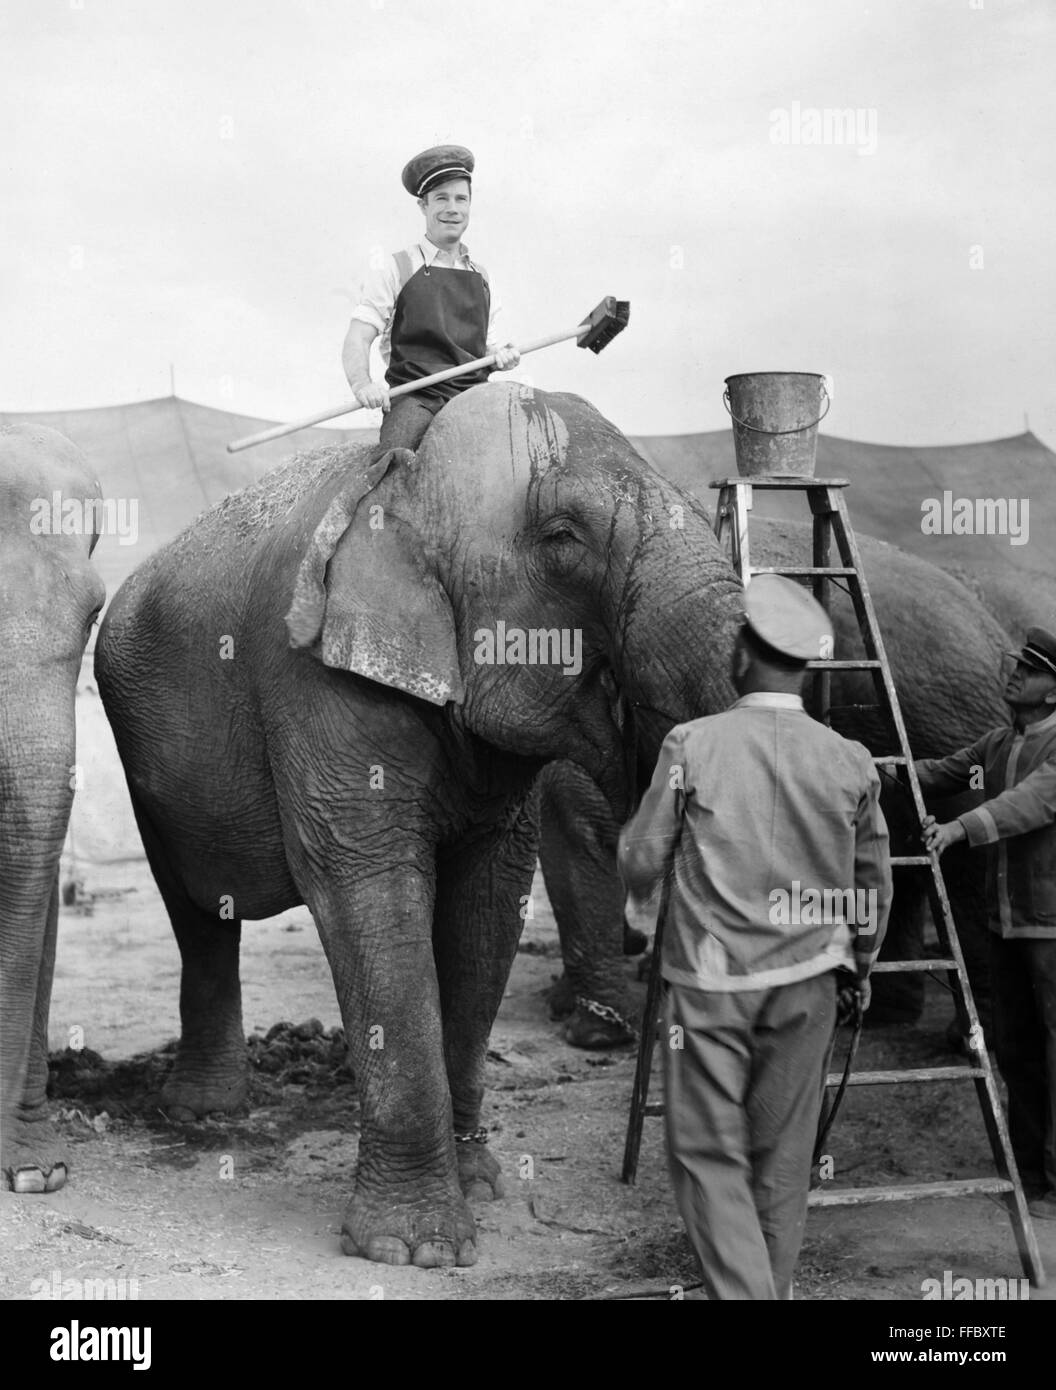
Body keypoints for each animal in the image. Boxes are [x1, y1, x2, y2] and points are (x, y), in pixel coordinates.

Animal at [94, 382, 747, 1268]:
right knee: (198, 912)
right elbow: (366, 885)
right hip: (141, 755)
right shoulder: (316, 677)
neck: (405, 482)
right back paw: (205, 1114)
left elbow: (487, 903)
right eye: (564, 537)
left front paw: (480, 1187)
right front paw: (417, 1250)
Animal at [539, 517, 1013, 1048]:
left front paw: (594, 1031)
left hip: (950, 721)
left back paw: (963, 1034)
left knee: (962, 859)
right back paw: (883, 1012)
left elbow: (578, 822)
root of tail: (994, 635)